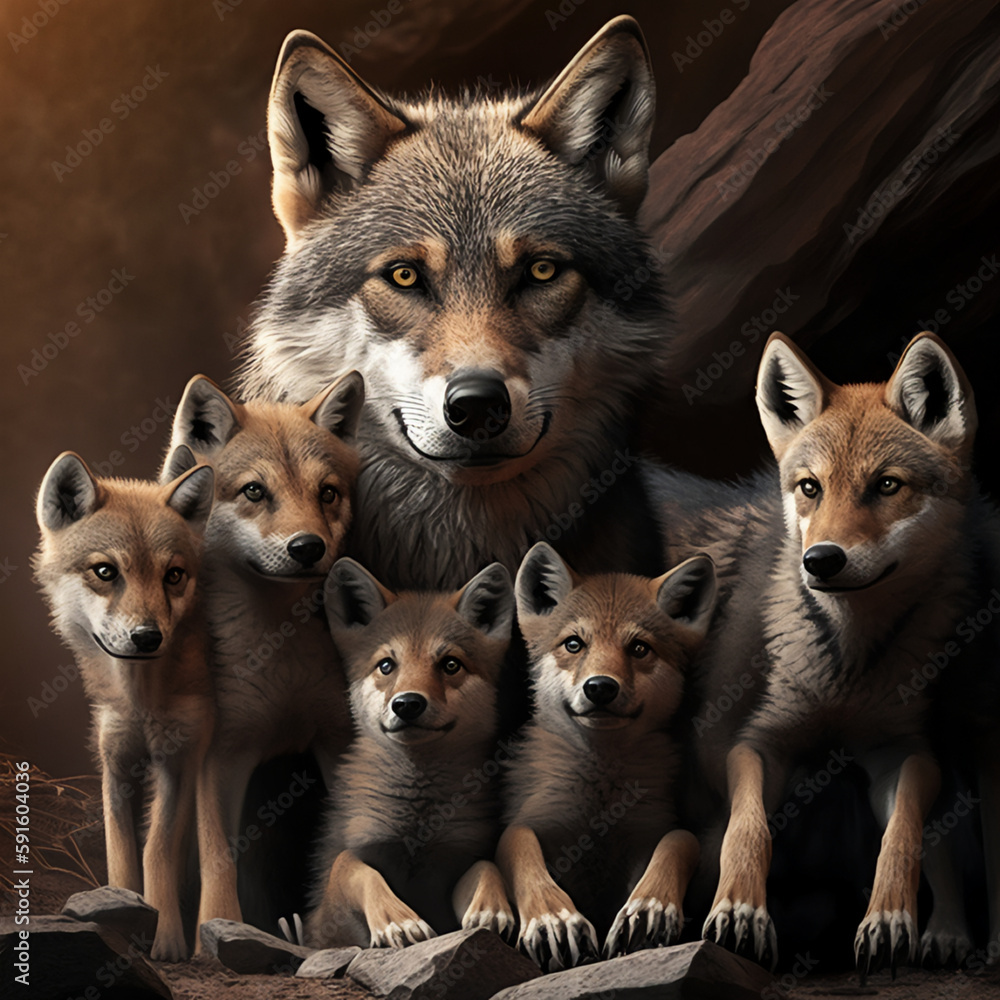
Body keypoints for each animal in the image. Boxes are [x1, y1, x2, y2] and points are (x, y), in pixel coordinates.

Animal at [34, 452, 215, 961]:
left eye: (173, 575)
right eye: (105, 572)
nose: (147, 637)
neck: (140, 703)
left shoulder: (179, 760)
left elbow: (155, 849)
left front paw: (167, 940)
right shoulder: (116, 764)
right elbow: (121, 855)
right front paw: (122, 916)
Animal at [160, 371, 363, 937]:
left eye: (327, 493)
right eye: (255, 490)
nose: (308, 547)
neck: (277, 650)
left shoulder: (338, 741)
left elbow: (343, 848)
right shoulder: (221, 756)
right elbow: (218, 860)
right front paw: (219, 932)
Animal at [305, 558, 515, 948]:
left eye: (450, 664)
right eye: (387, 665)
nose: (407, 704)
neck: (418, 829)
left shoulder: (455, 861)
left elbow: (487, 866)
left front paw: (491, 908)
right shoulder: (325, 921)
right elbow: (352, 868)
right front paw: (397, 921)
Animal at [497, 542, 714, 972]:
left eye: (639, 648)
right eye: (574, 644)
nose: (600, 687)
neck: (600, 806)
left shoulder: (651, 831)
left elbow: (679, 841)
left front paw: (649, 907)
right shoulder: (532, 823)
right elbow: (520, 848)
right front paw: (552, 918)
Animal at [671, 331, 998, 976]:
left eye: (887, 485)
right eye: (810, 488)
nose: (821, 560)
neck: (844, 671)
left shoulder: (901, 751)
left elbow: (902, 839)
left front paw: (890, 921)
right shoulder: (751, 742)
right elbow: (748, 832)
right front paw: (739, 914)